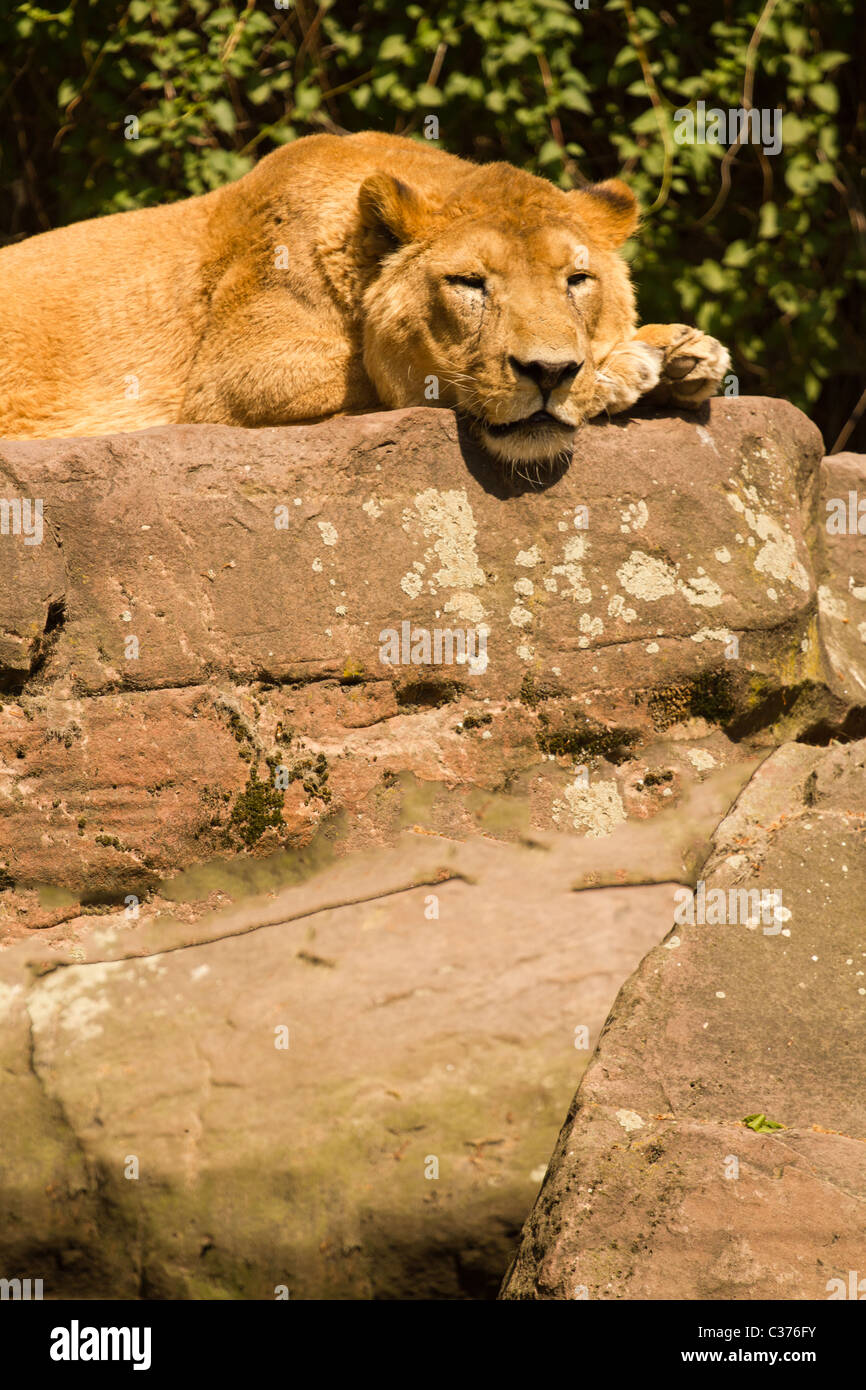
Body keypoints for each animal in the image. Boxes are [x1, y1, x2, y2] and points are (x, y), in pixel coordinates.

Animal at [0, 130, 729, 466]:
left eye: (576, 281)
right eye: (469, 284)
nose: (550, 372)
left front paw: (684, 354)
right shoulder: (228, 383)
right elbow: (398, 379)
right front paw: (625, 369)